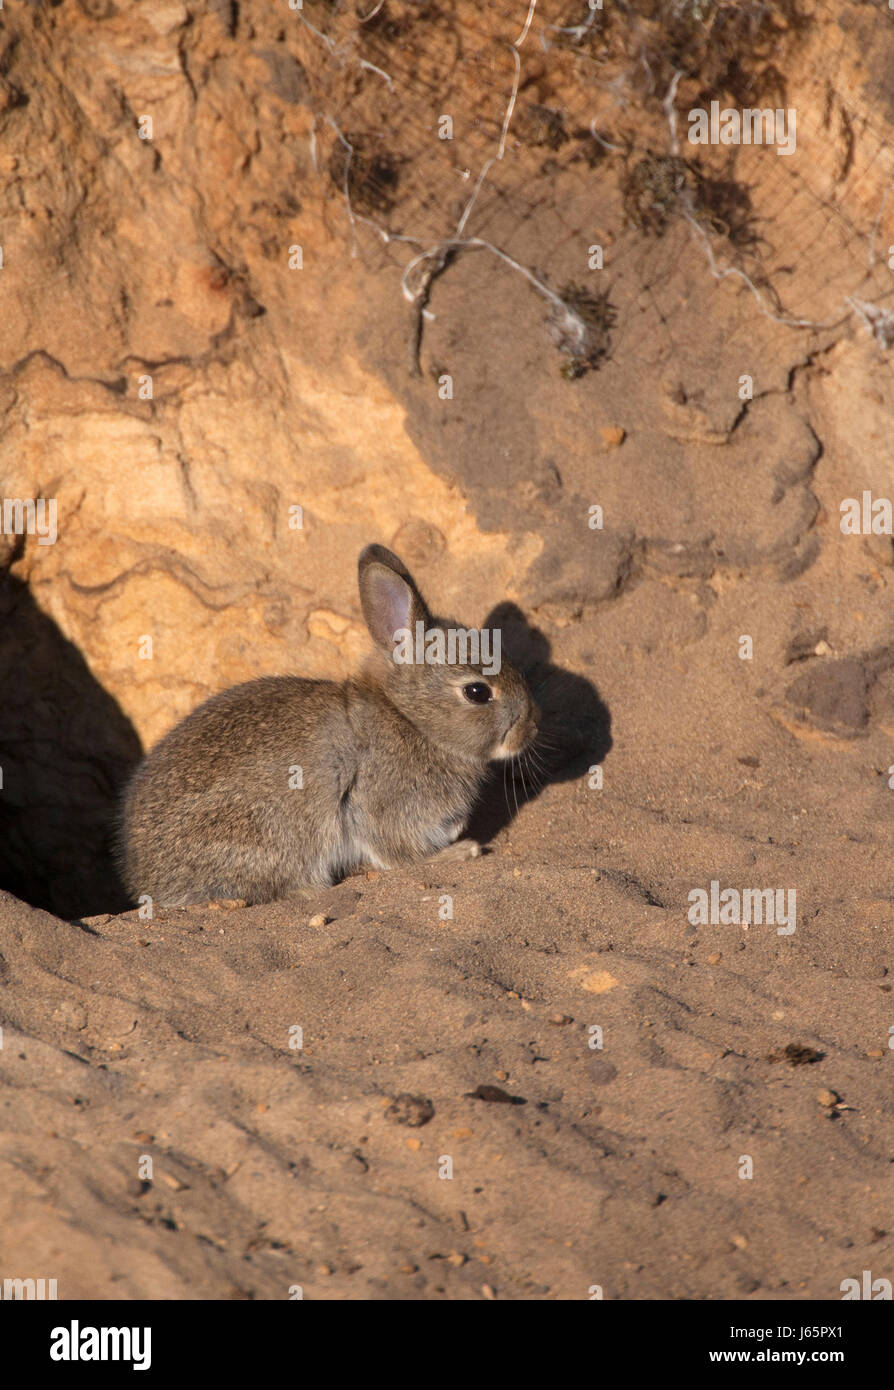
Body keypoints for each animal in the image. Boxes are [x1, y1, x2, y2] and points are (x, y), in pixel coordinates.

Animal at [118, 543, 540, 907]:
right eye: (477, 692)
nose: (532, 727)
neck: (411, 719)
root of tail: (146, 880)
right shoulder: (379, 805)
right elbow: (402, 856)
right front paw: (459, 852)